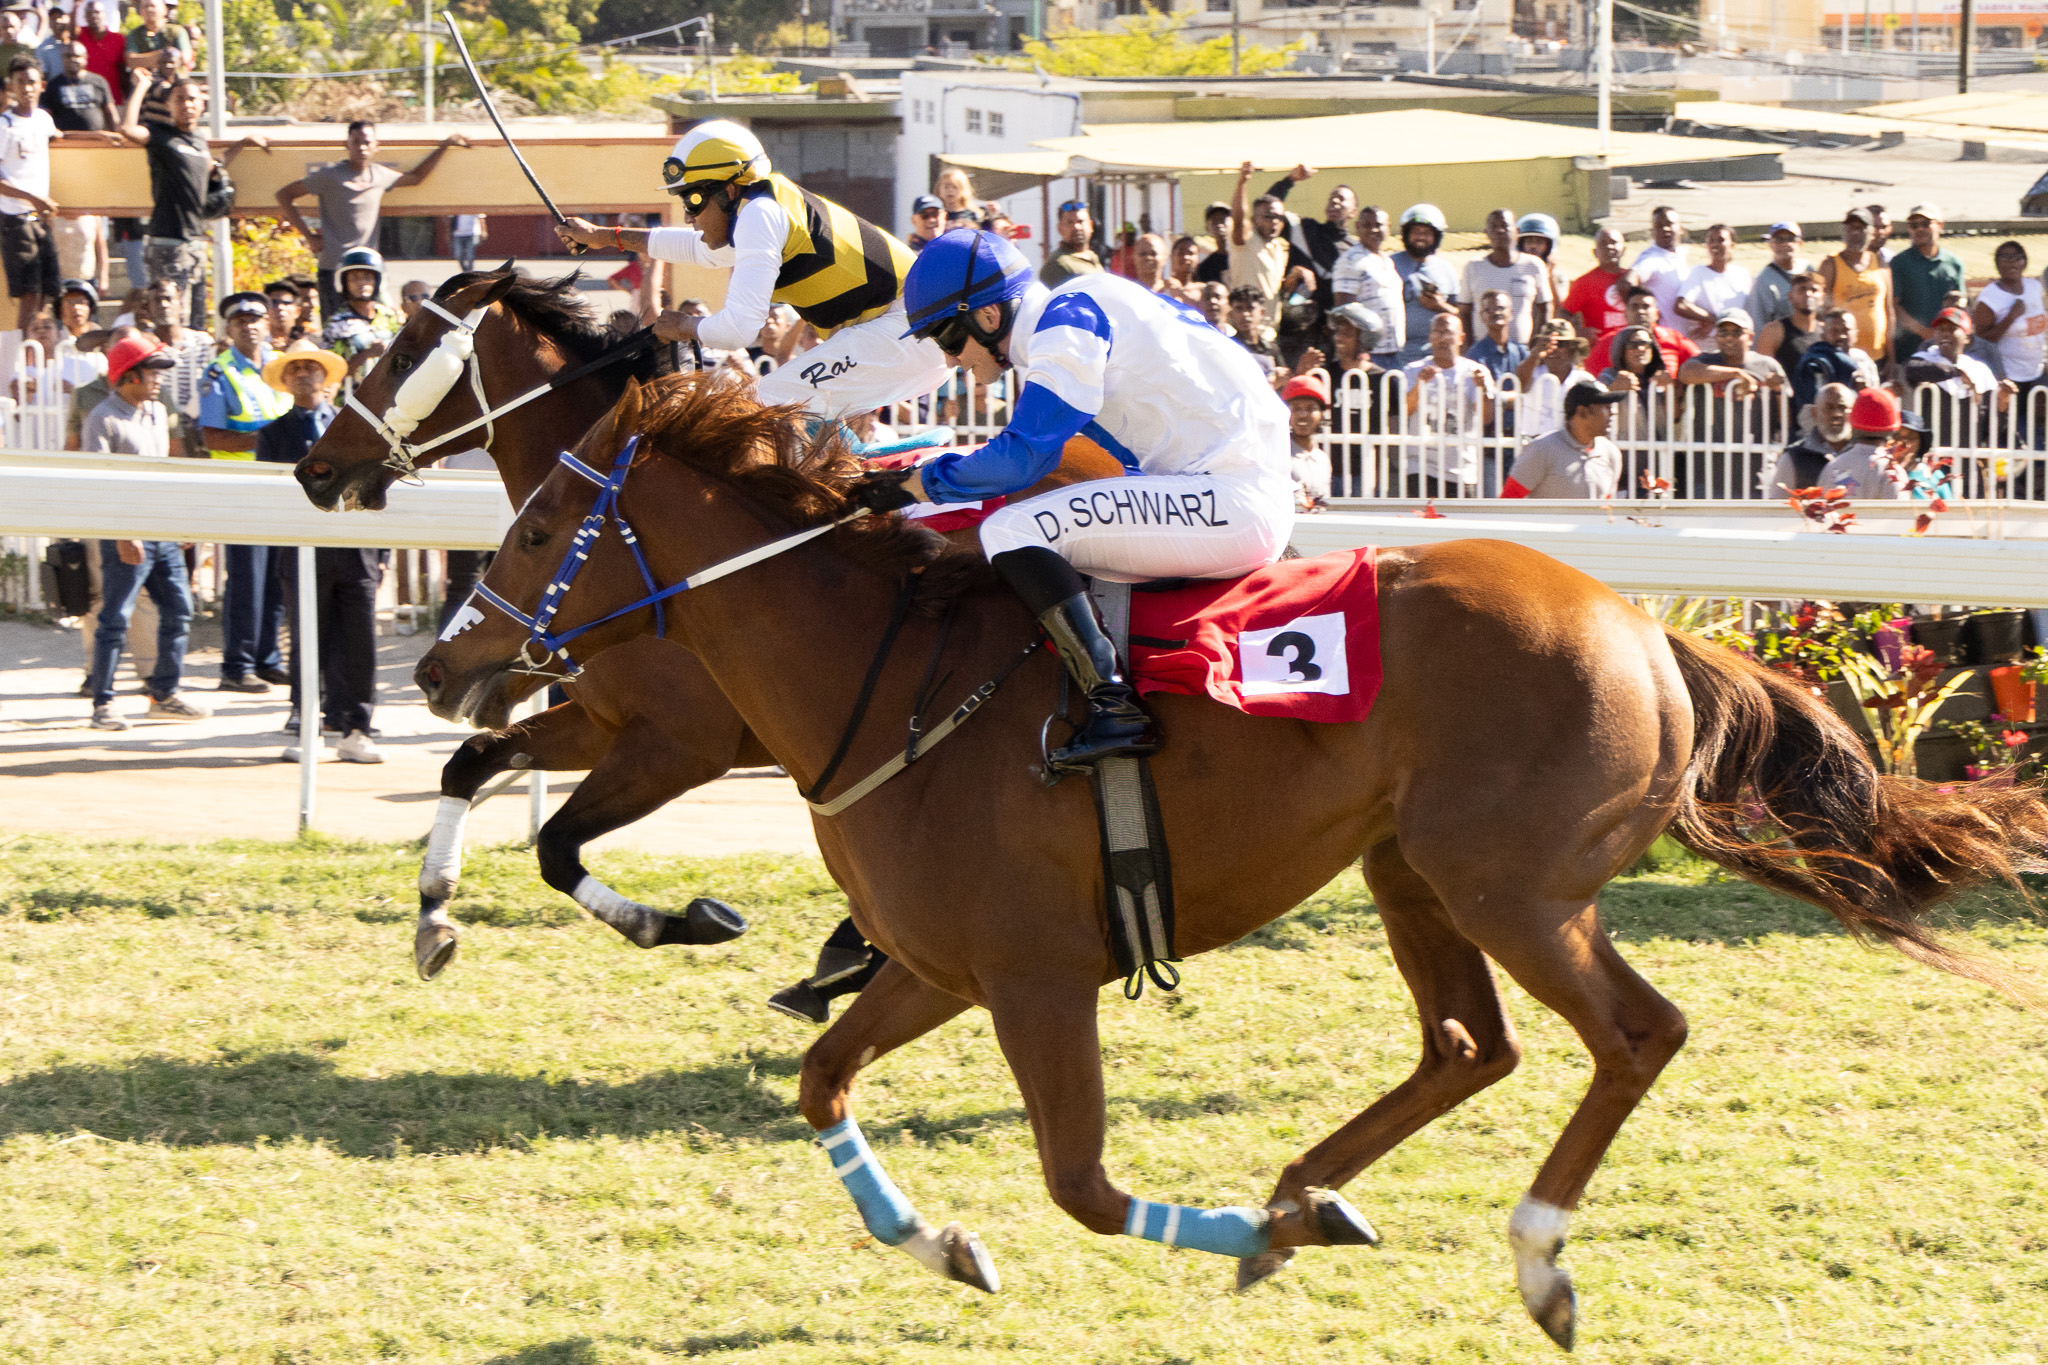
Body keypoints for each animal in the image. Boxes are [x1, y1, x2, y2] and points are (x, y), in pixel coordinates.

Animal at [297, 265, 1121, 986]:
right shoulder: (602, 720)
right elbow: (469, 762)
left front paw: (683, 920)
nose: (314, 469)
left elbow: (557, 845)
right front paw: (433, 917)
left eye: (403, 355)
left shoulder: (680, 742)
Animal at [410, 373, 2047, 1349]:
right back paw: (1308, 1193)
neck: (886, 678)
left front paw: (1212, 1237)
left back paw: (1525, 1254)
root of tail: (1648, 629)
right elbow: (821, 1082)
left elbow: (1079, 1182)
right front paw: (944, 1245)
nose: (438, 664)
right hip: (1410, 873)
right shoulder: (942, 965)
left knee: (1634, 1034)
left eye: (543, 522)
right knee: (1469, 1045)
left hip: (1512, 887)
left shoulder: (1034, 978)